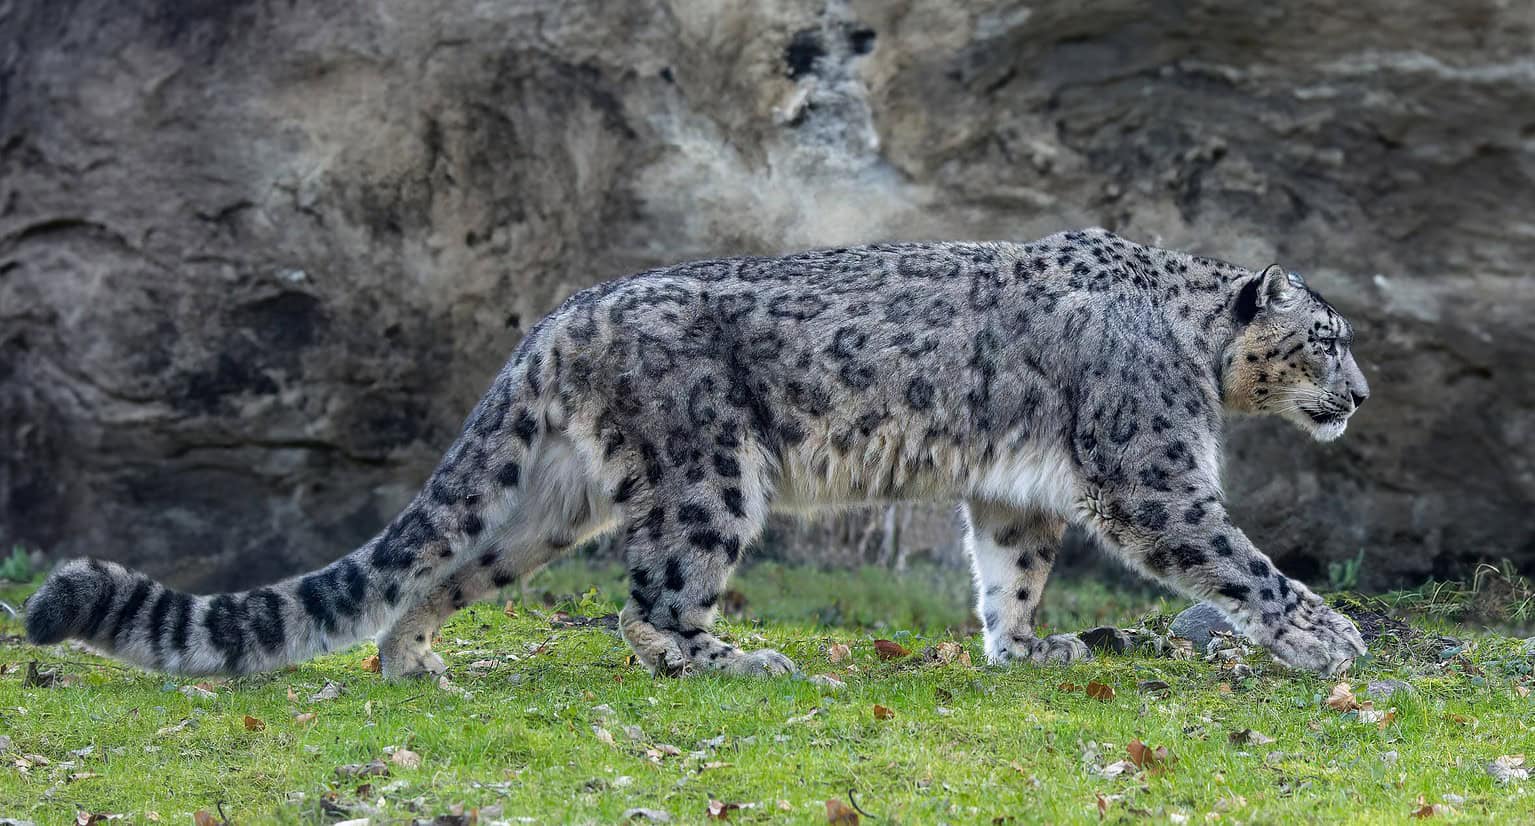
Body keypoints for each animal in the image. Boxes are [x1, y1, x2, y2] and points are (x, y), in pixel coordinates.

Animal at [24, 228, 1370, 680]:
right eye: (1324, 337)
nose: (1357, 395)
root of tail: (564, 312)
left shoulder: (1012, 494)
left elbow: (1011, 574)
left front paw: (1029, 647)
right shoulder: (1149, 471)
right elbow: (1236, 559)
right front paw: (1324, 638)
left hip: (549, 500)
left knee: (444, 568)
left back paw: (413, 661)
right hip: (707, 474)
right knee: (652, 600)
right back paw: (737, 656)